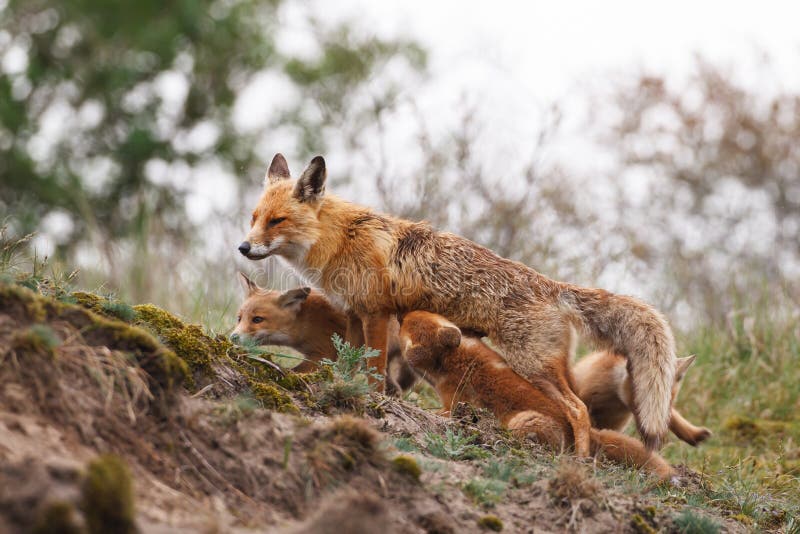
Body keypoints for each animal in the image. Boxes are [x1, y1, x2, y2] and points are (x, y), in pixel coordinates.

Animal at [230, 272, 417, 392]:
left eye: (257, 319)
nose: (233, 337)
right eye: (239, 318)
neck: (306, 321)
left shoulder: (325, 353)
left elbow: (294, 371)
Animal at [398, 310, 675, 481]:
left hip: (523, 420)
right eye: (420, 313)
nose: (400, 315)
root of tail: (592, 434)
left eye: (404, 327)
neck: (454, 358)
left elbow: (442, 411)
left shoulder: (453, 399)